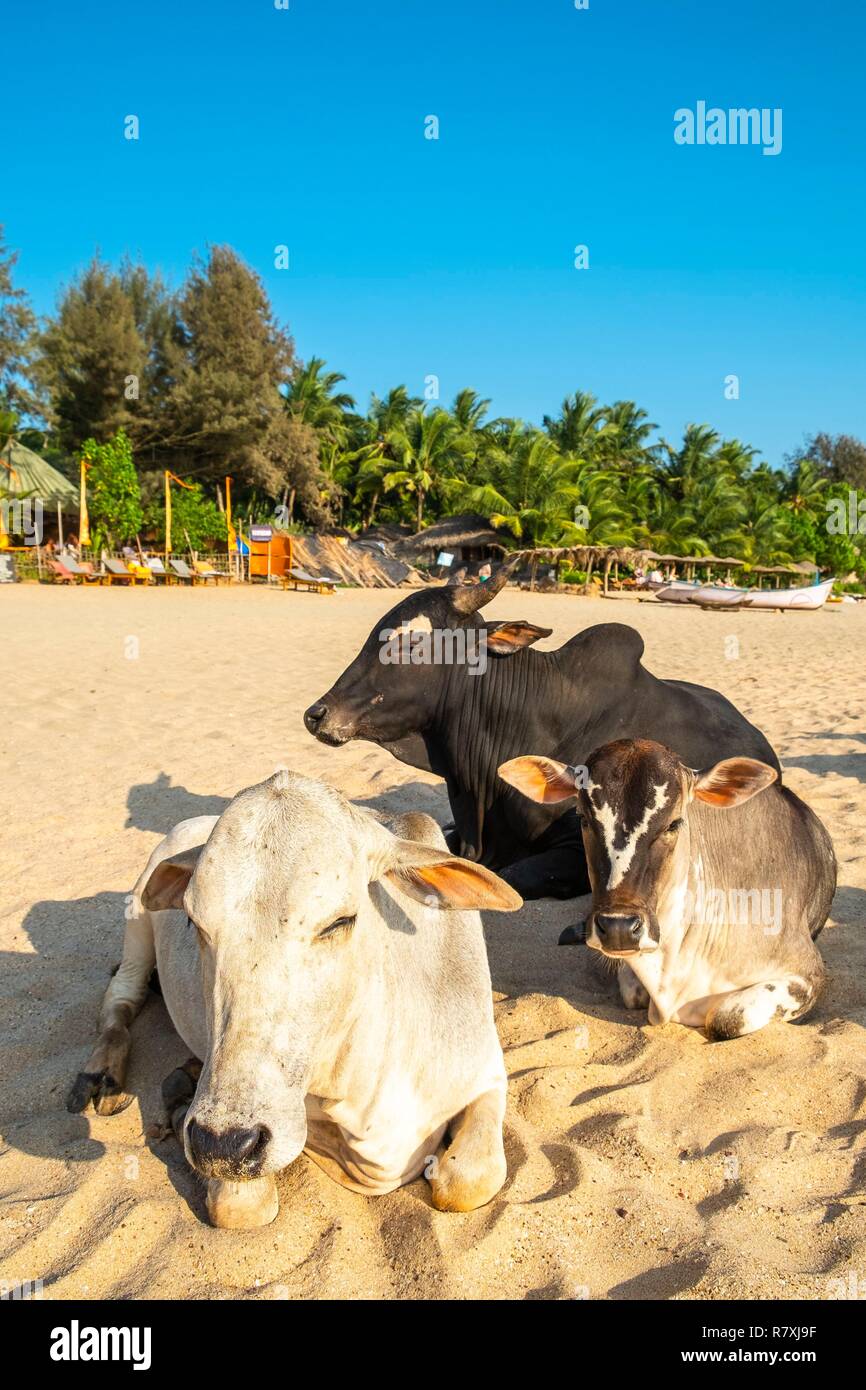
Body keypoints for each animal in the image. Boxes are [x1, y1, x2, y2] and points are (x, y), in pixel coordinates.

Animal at [68, 771, 521, 1227]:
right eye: (194, 921)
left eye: (340, 920)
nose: (222, 1144)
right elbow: (241, 1208)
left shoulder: (486, 1073)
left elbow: (469, 1181)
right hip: (137, 922)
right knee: (120, 998)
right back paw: (101, 1076)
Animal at [498, 739, 836, 1038]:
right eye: (583, 817)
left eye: (674, 823)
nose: (619, 928)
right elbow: (632, 991)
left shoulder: (806, 972)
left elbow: (724, 1020)